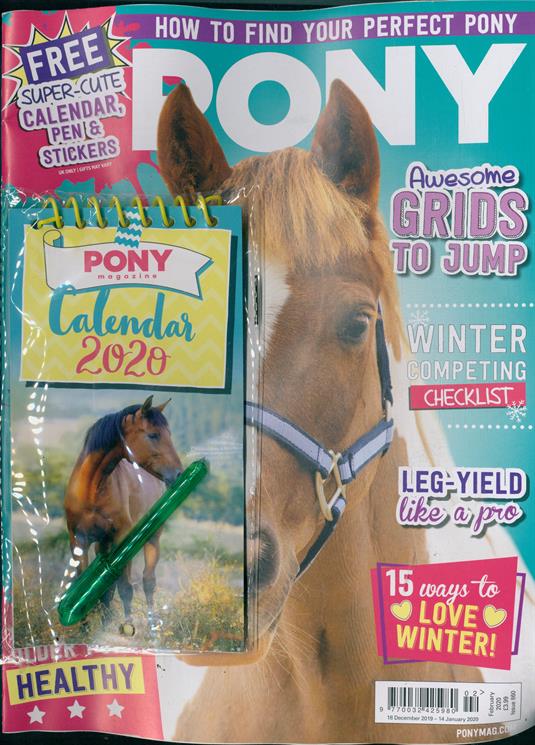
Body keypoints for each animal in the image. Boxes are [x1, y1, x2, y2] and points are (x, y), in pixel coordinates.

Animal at [63, 395, 182, 634]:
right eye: (153, 435)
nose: (178, 473)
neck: (92, 490)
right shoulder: (79, 539)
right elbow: (85, 584)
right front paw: (85, 631)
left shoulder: (121, 537)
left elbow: (125, 587)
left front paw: (127, 628)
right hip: (103, 545)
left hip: (151, 539)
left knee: (148, 582)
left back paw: (151, 628)